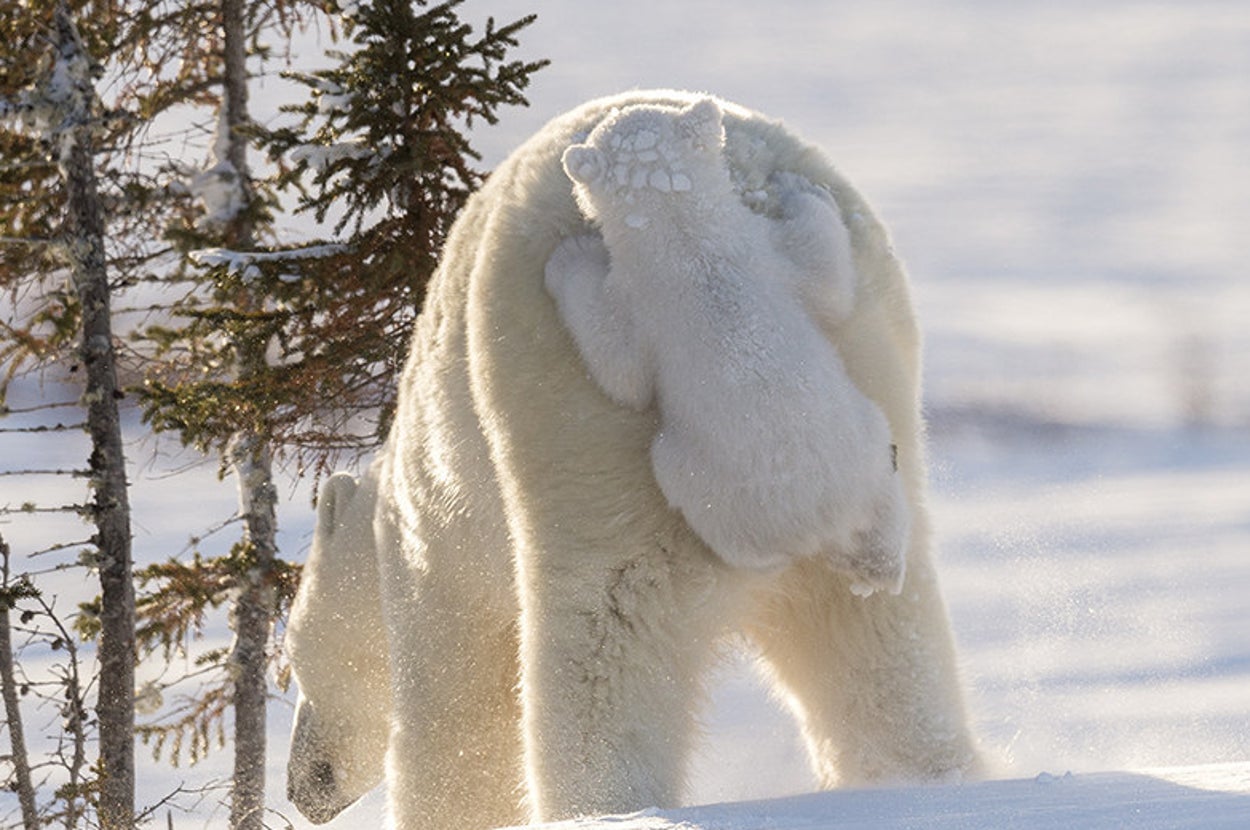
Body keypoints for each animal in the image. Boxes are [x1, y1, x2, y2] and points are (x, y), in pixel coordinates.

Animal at [545, 98, 909, 594]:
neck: (688, 238)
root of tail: (823, 522)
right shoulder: (754, 259)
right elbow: (825, 280)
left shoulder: (662, 289)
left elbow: (623, 373)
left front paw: (568, 256)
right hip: (854, 456)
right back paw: (884, 568)